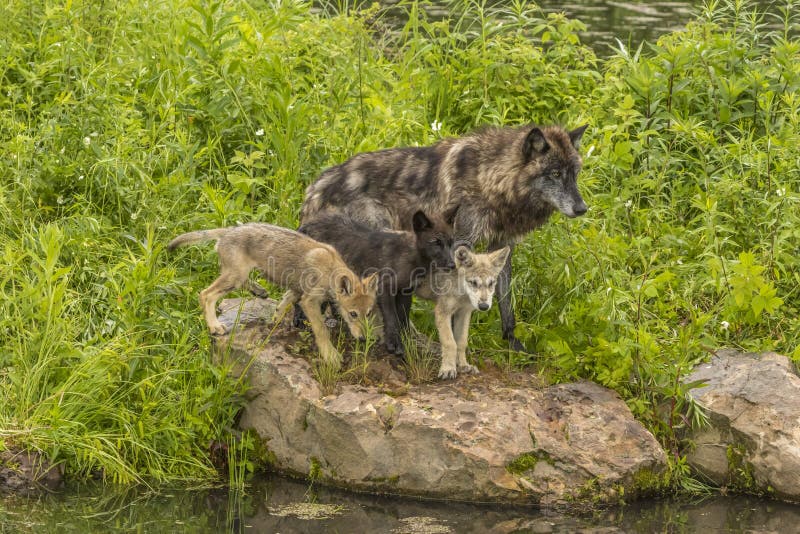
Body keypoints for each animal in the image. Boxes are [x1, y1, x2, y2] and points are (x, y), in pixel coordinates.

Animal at [168, 223, 379, 364]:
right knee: (205, 294)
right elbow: (321, 330)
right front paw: (331, 356)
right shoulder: (309, 301)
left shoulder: (297, 290)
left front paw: (276, 318)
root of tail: (228, 231)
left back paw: (259, 291)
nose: (364, 339)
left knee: (240, 284)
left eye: (368, 314)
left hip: (236, 274)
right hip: (234, 277)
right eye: (353, 314)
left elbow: (284, 302)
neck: (330, 271)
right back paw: (215, 327)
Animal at [298, 210, 454, 356]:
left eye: (451, 243)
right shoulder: (384, 288)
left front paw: (407, 342)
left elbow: (403, 318)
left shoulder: (405, 291)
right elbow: (391, 318)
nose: (453, 265)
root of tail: (308, 223)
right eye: (436, 242)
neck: (411, 258)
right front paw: (394, 344)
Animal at [416, 245, 511, 379]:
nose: (484, 306)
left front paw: (463, 366)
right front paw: (448, 369)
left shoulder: (464, 313)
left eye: (491, 283)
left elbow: (461, 342)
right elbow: (450, 343)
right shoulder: (442, 311)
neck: (461, 293)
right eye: (473, 283)